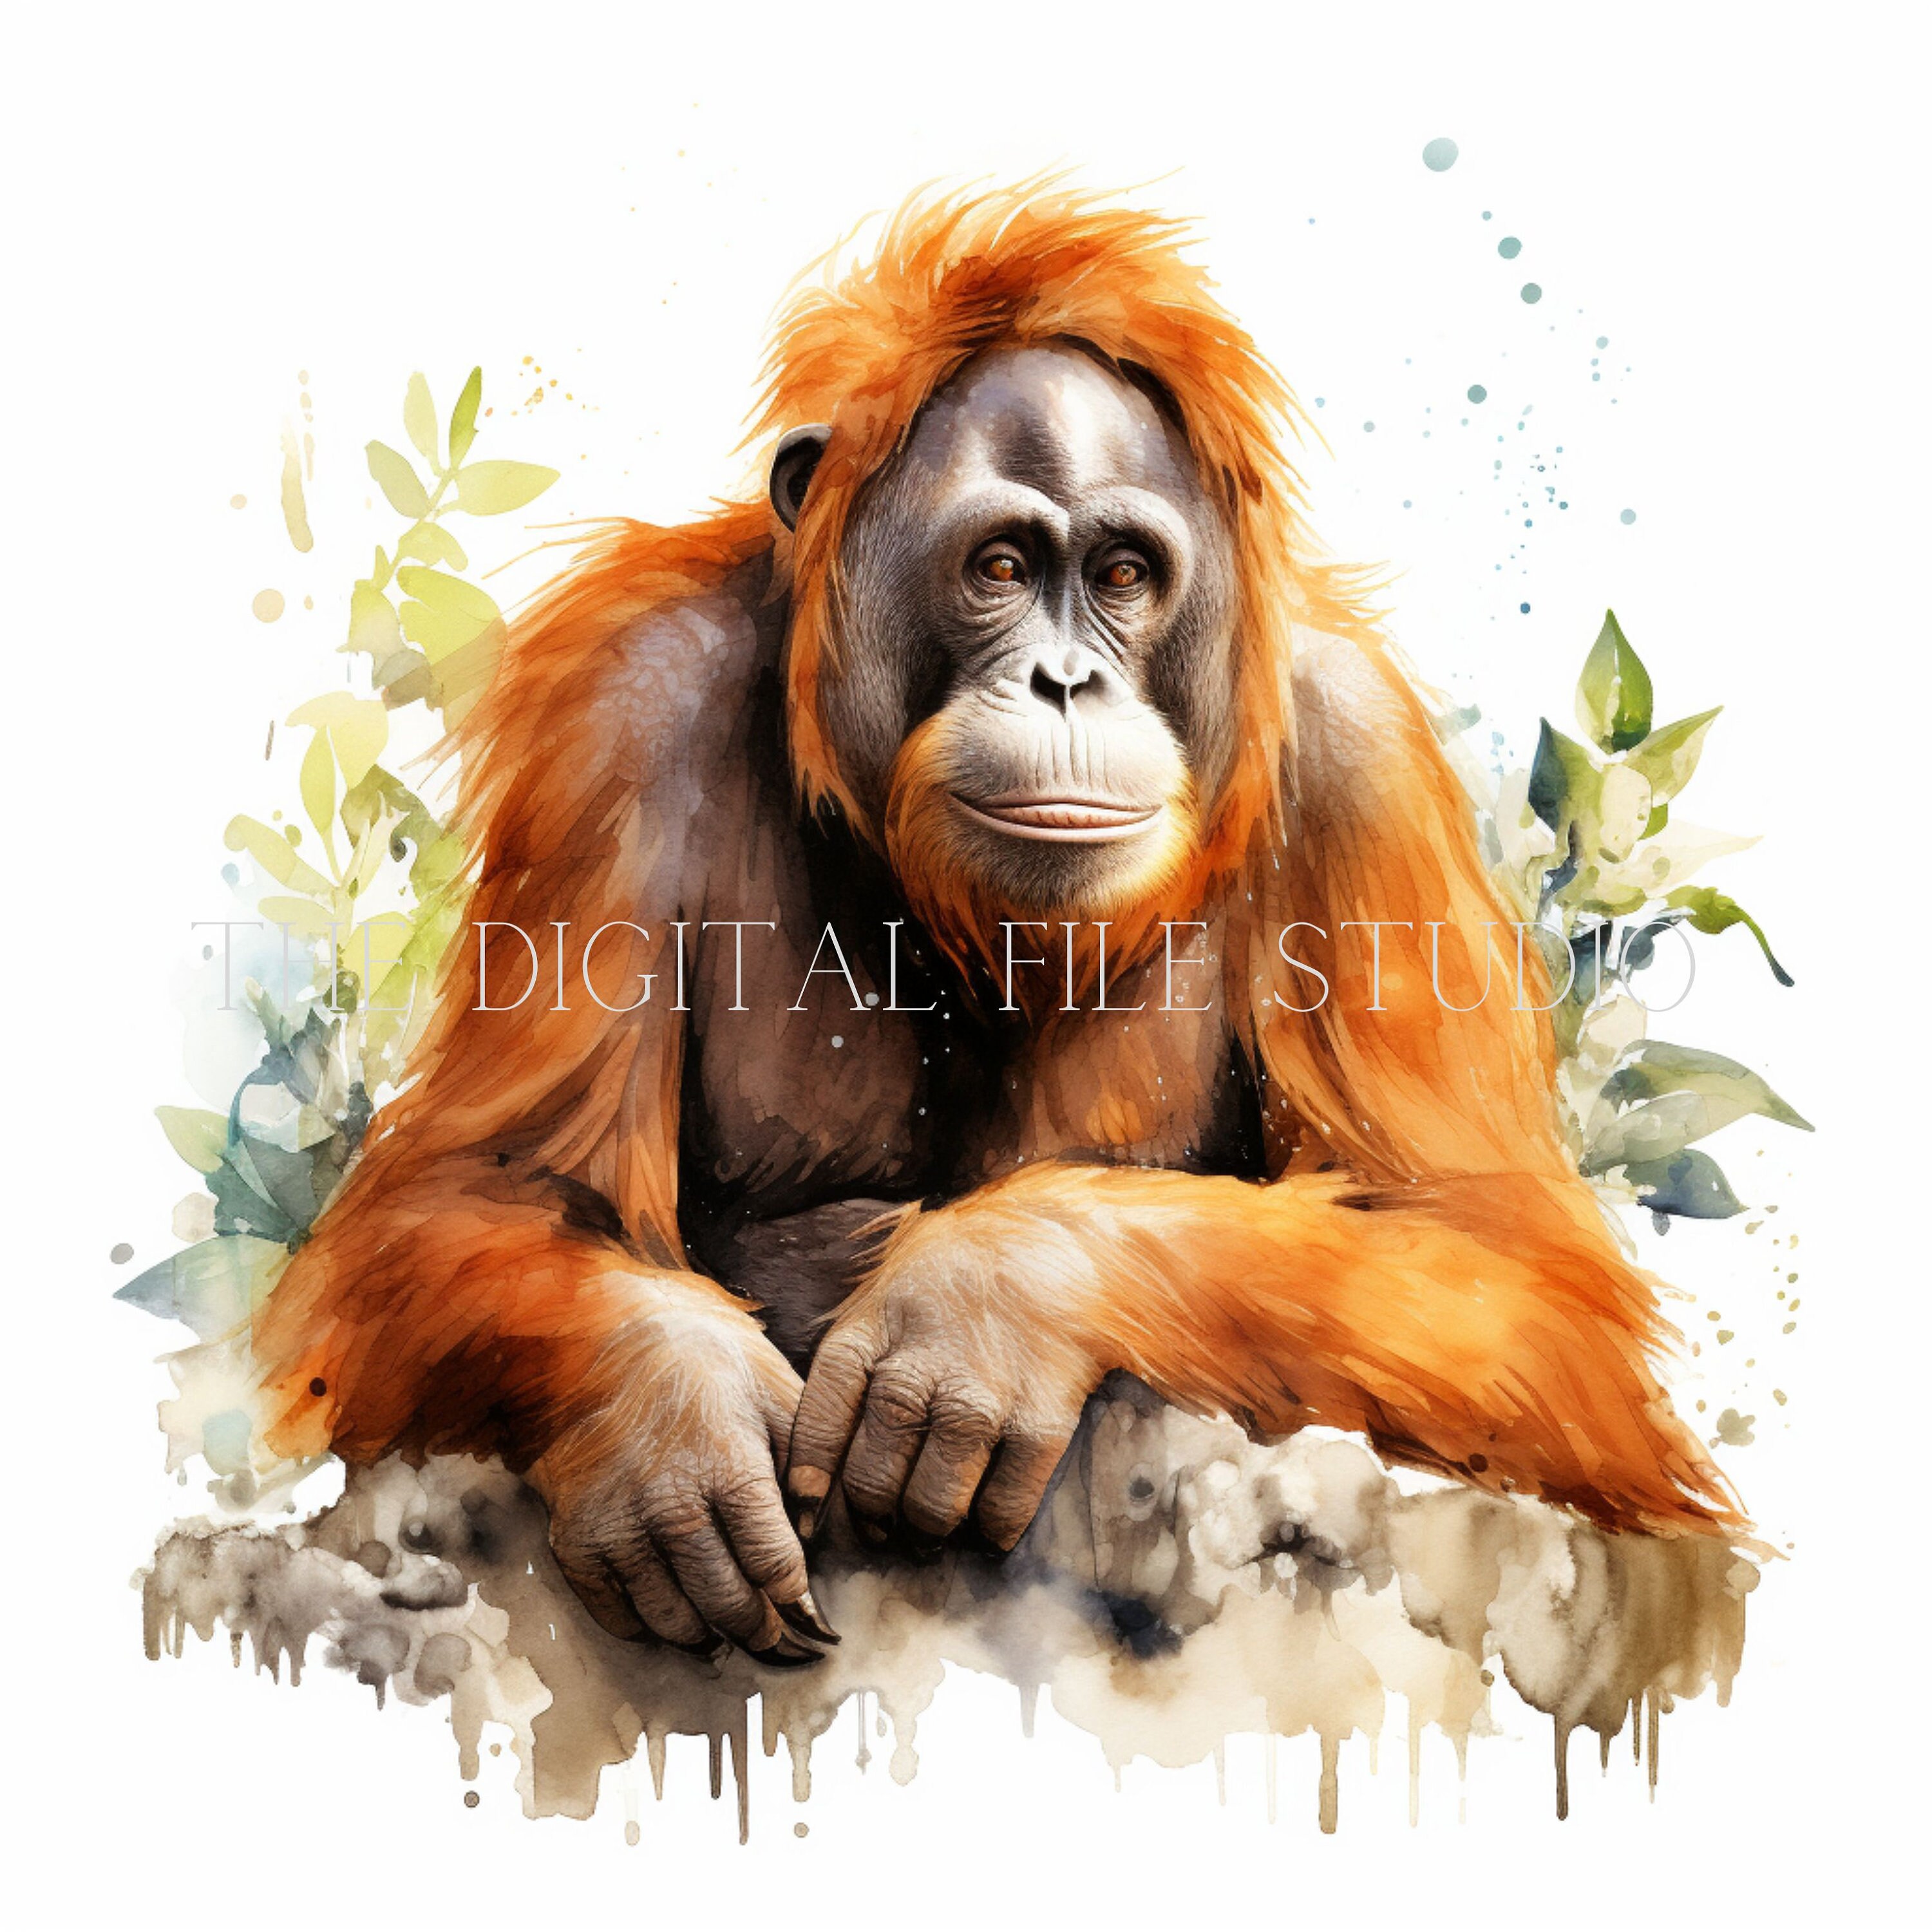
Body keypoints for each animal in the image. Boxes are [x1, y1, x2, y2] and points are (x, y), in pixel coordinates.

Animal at [252, 184, 1739, 1667]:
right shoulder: (622, 708)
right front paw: (669, 1419)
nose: (1067, 680)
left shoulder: (1357, 755)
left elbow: (1511, 1282)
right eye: (1006, 565)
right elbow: (475, 1191)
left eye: (1125, 574)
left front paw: (985, 1296)